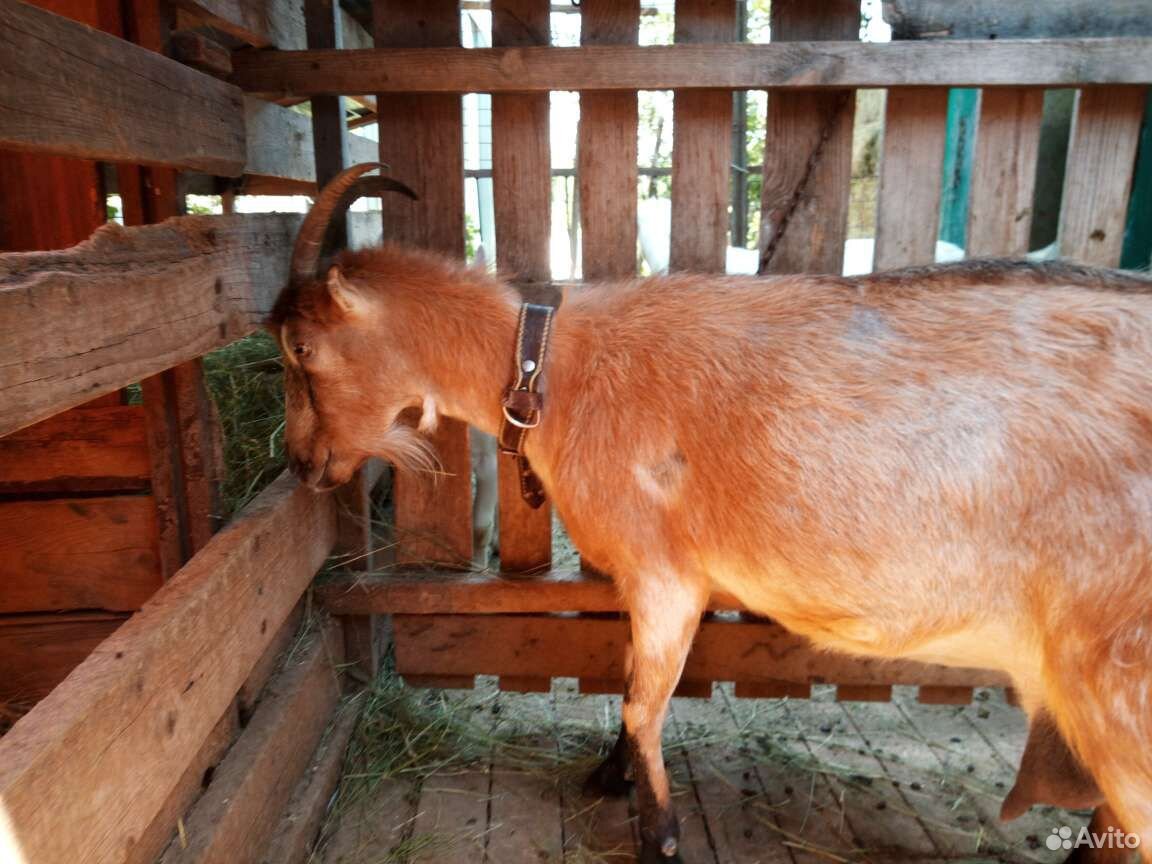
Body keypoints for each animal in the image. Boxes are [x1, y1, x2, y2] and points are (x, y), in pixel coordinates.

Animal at [272, 165, 1152, 863]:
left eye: (301, 349)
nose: (303, 463)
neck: (550, 366)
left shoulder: (667, 574)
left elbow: (642, 700)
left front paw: (657, 833)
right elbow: (631, 679)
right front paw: (612, 775)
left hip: (1118, 688)